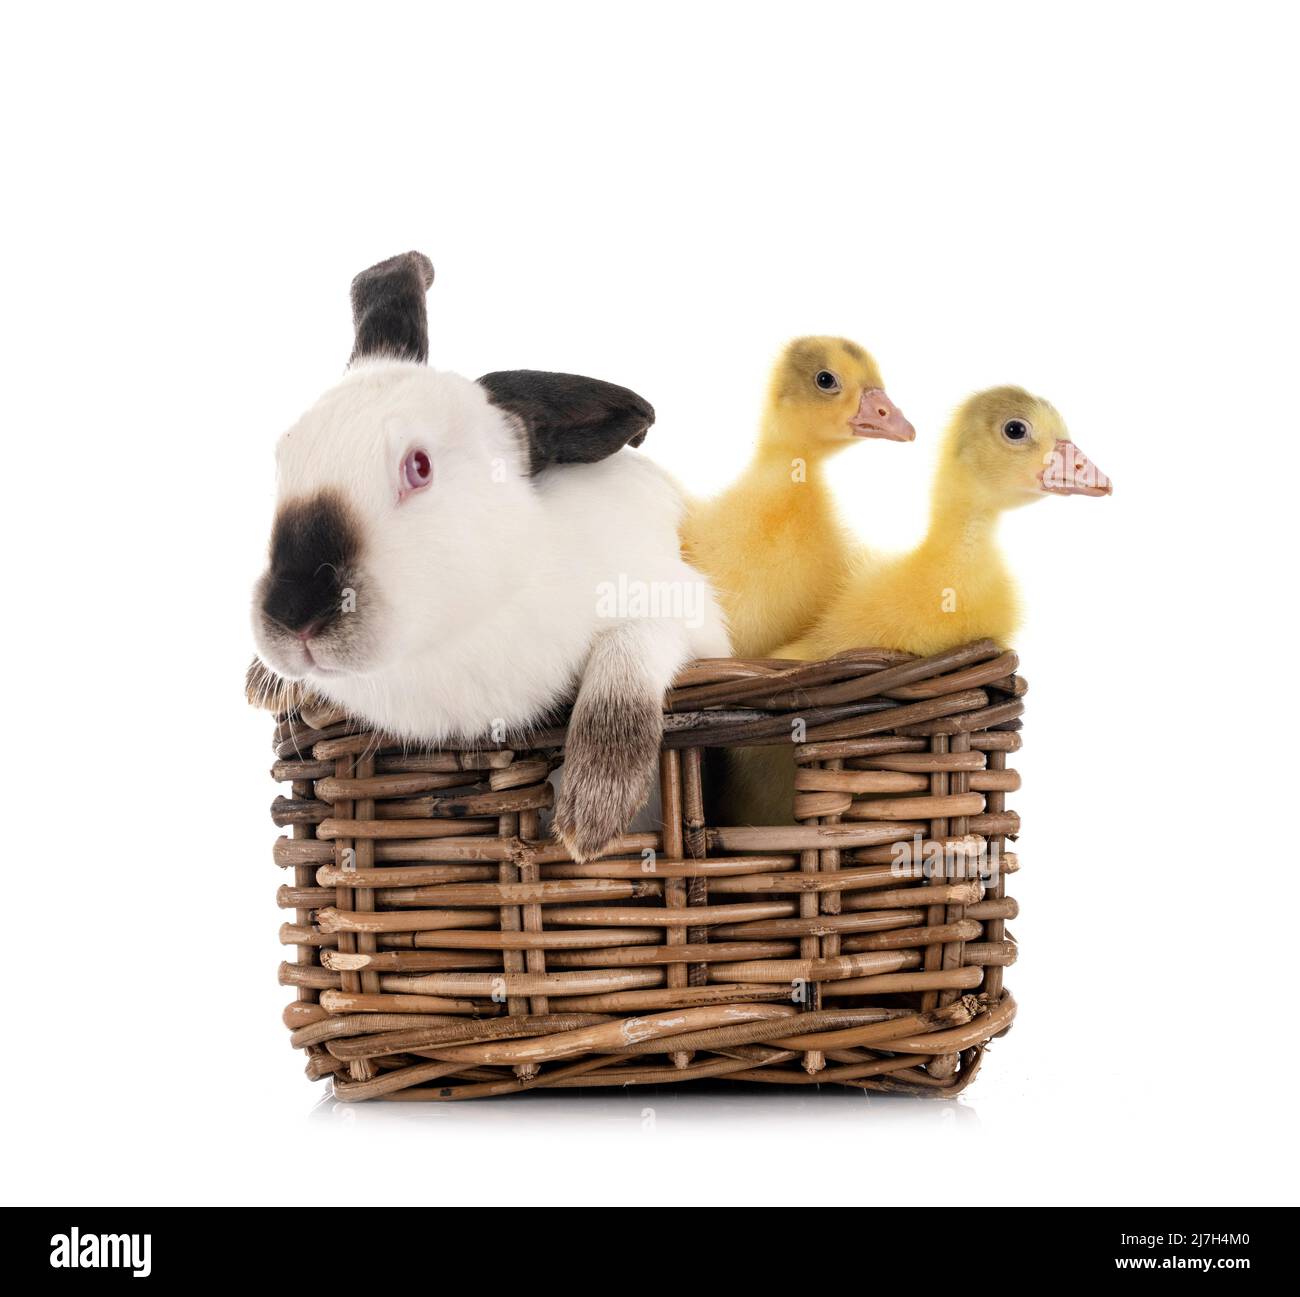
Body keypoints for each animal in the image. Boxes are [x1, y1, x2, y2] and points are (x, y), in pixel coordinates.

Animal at [249, 251, 730, 861]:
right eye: (283, 457)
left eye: (420, 467)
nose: (296, 617)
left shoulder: (683, 617)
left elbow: (626, 657)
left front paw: (592, 816)